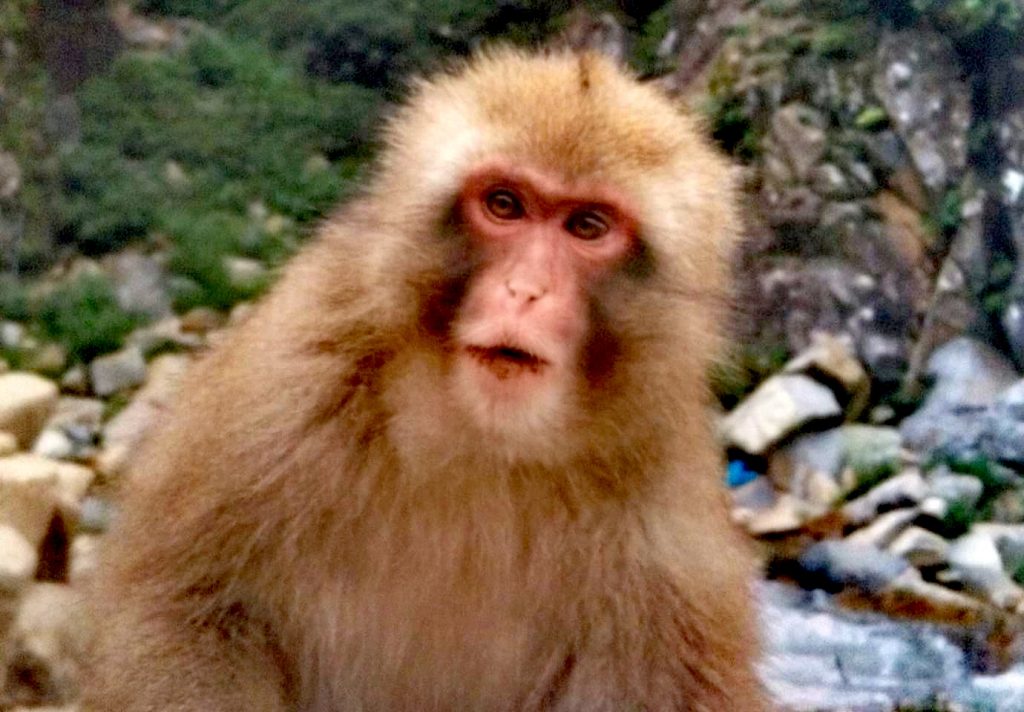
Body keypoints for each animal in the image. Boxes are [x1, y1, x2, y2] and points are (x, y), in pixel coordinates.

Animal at [82, 49, 769, 711]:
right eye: (504, 204)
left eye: (587, 226)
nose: (524, 290)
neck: (482, 441)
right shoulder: (283, 391)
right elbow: (184, 611)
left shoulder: (666, 535)